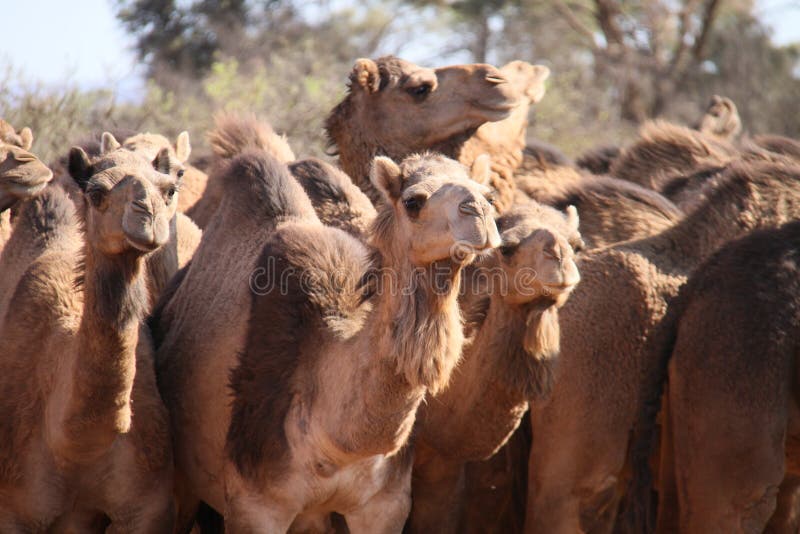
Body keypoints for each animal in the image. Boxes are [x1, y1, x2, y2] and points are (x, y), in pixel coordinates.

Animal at [0, 145, 177, 531]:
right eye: (96, 192)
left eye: (170, 189)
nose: (148, 216)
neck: (76, 443)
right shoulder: (13, 508)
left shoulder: (146, 509)